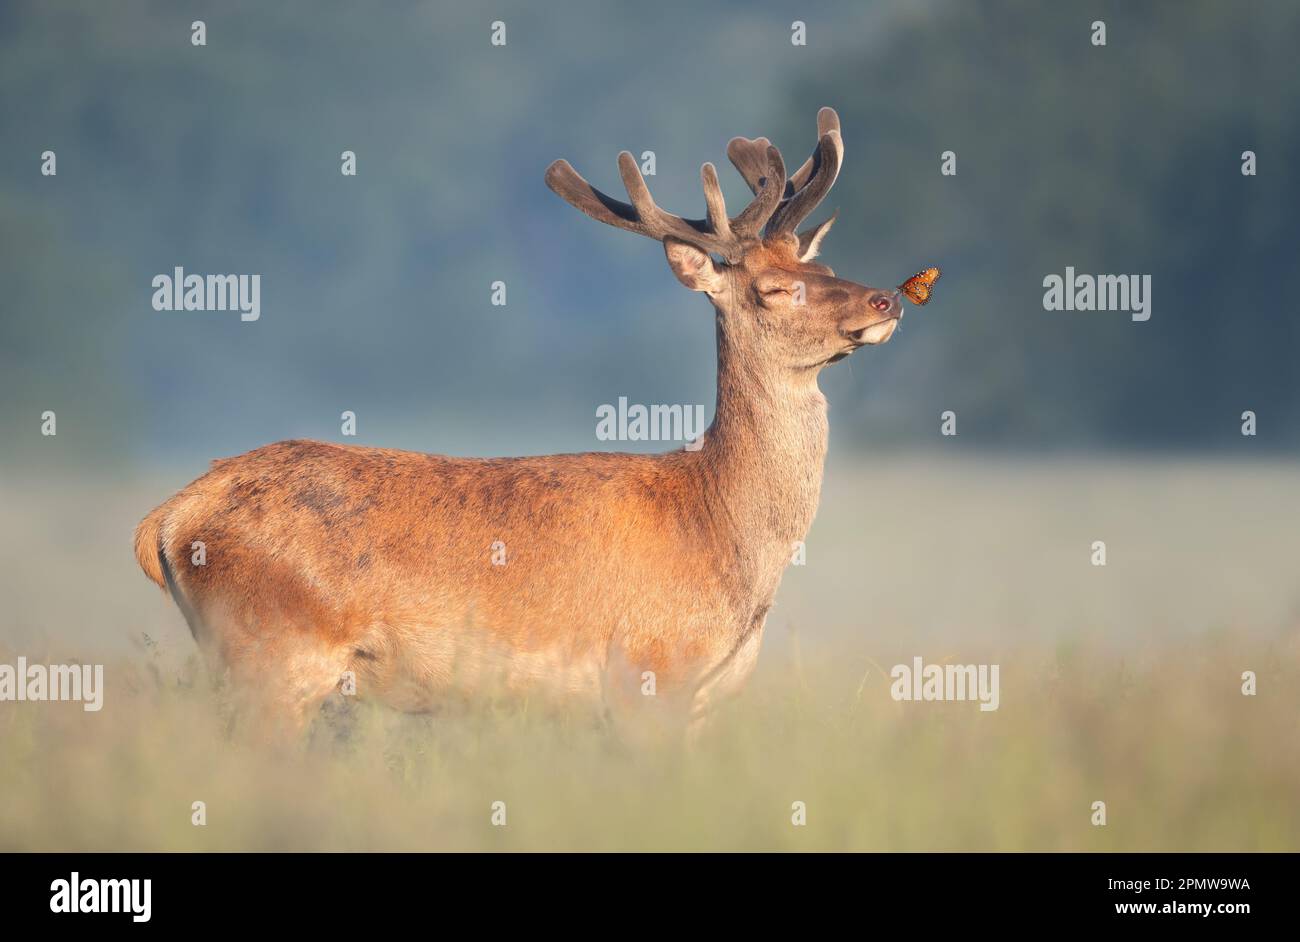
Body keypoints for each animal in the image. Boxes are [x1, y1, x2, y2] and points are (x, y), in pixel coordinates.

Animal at [133, 106, 905, 738]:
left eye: (824, 265)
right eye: (772, 289)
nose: (887, 299)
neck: (722, 538)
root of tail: (168, 520)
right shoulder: (645, 674)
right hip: (271, 655)